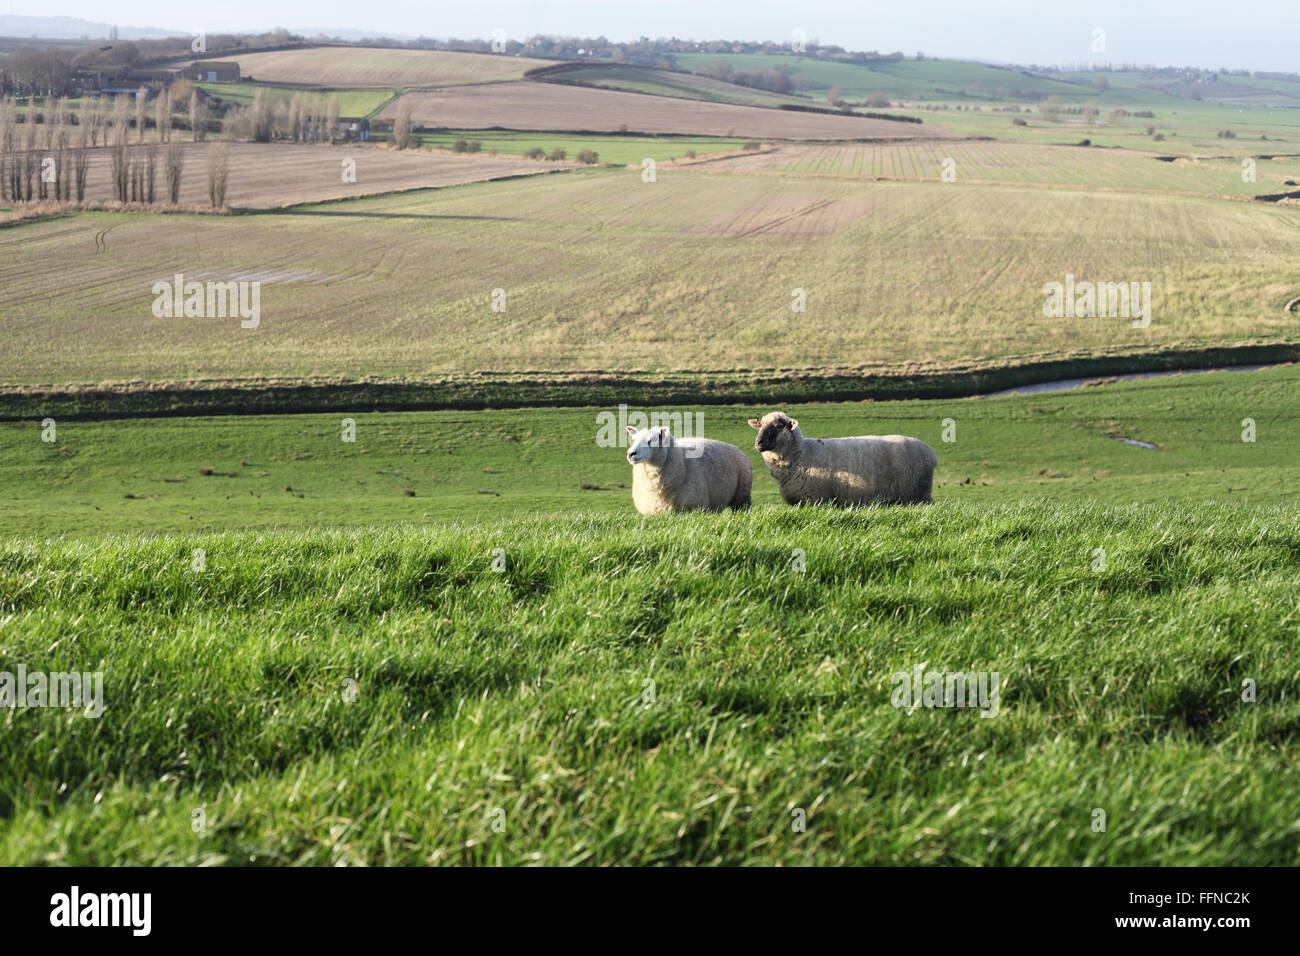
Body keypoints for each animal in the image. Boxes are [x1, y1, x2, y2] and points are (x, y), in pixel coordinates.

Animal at [747, 412, 937, 506]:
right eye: (760, 425)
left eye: (778, 426)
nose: (758, 443)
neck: (801, 454)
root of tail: (931, 453)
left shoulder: (816, 499)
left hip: (918, 493)